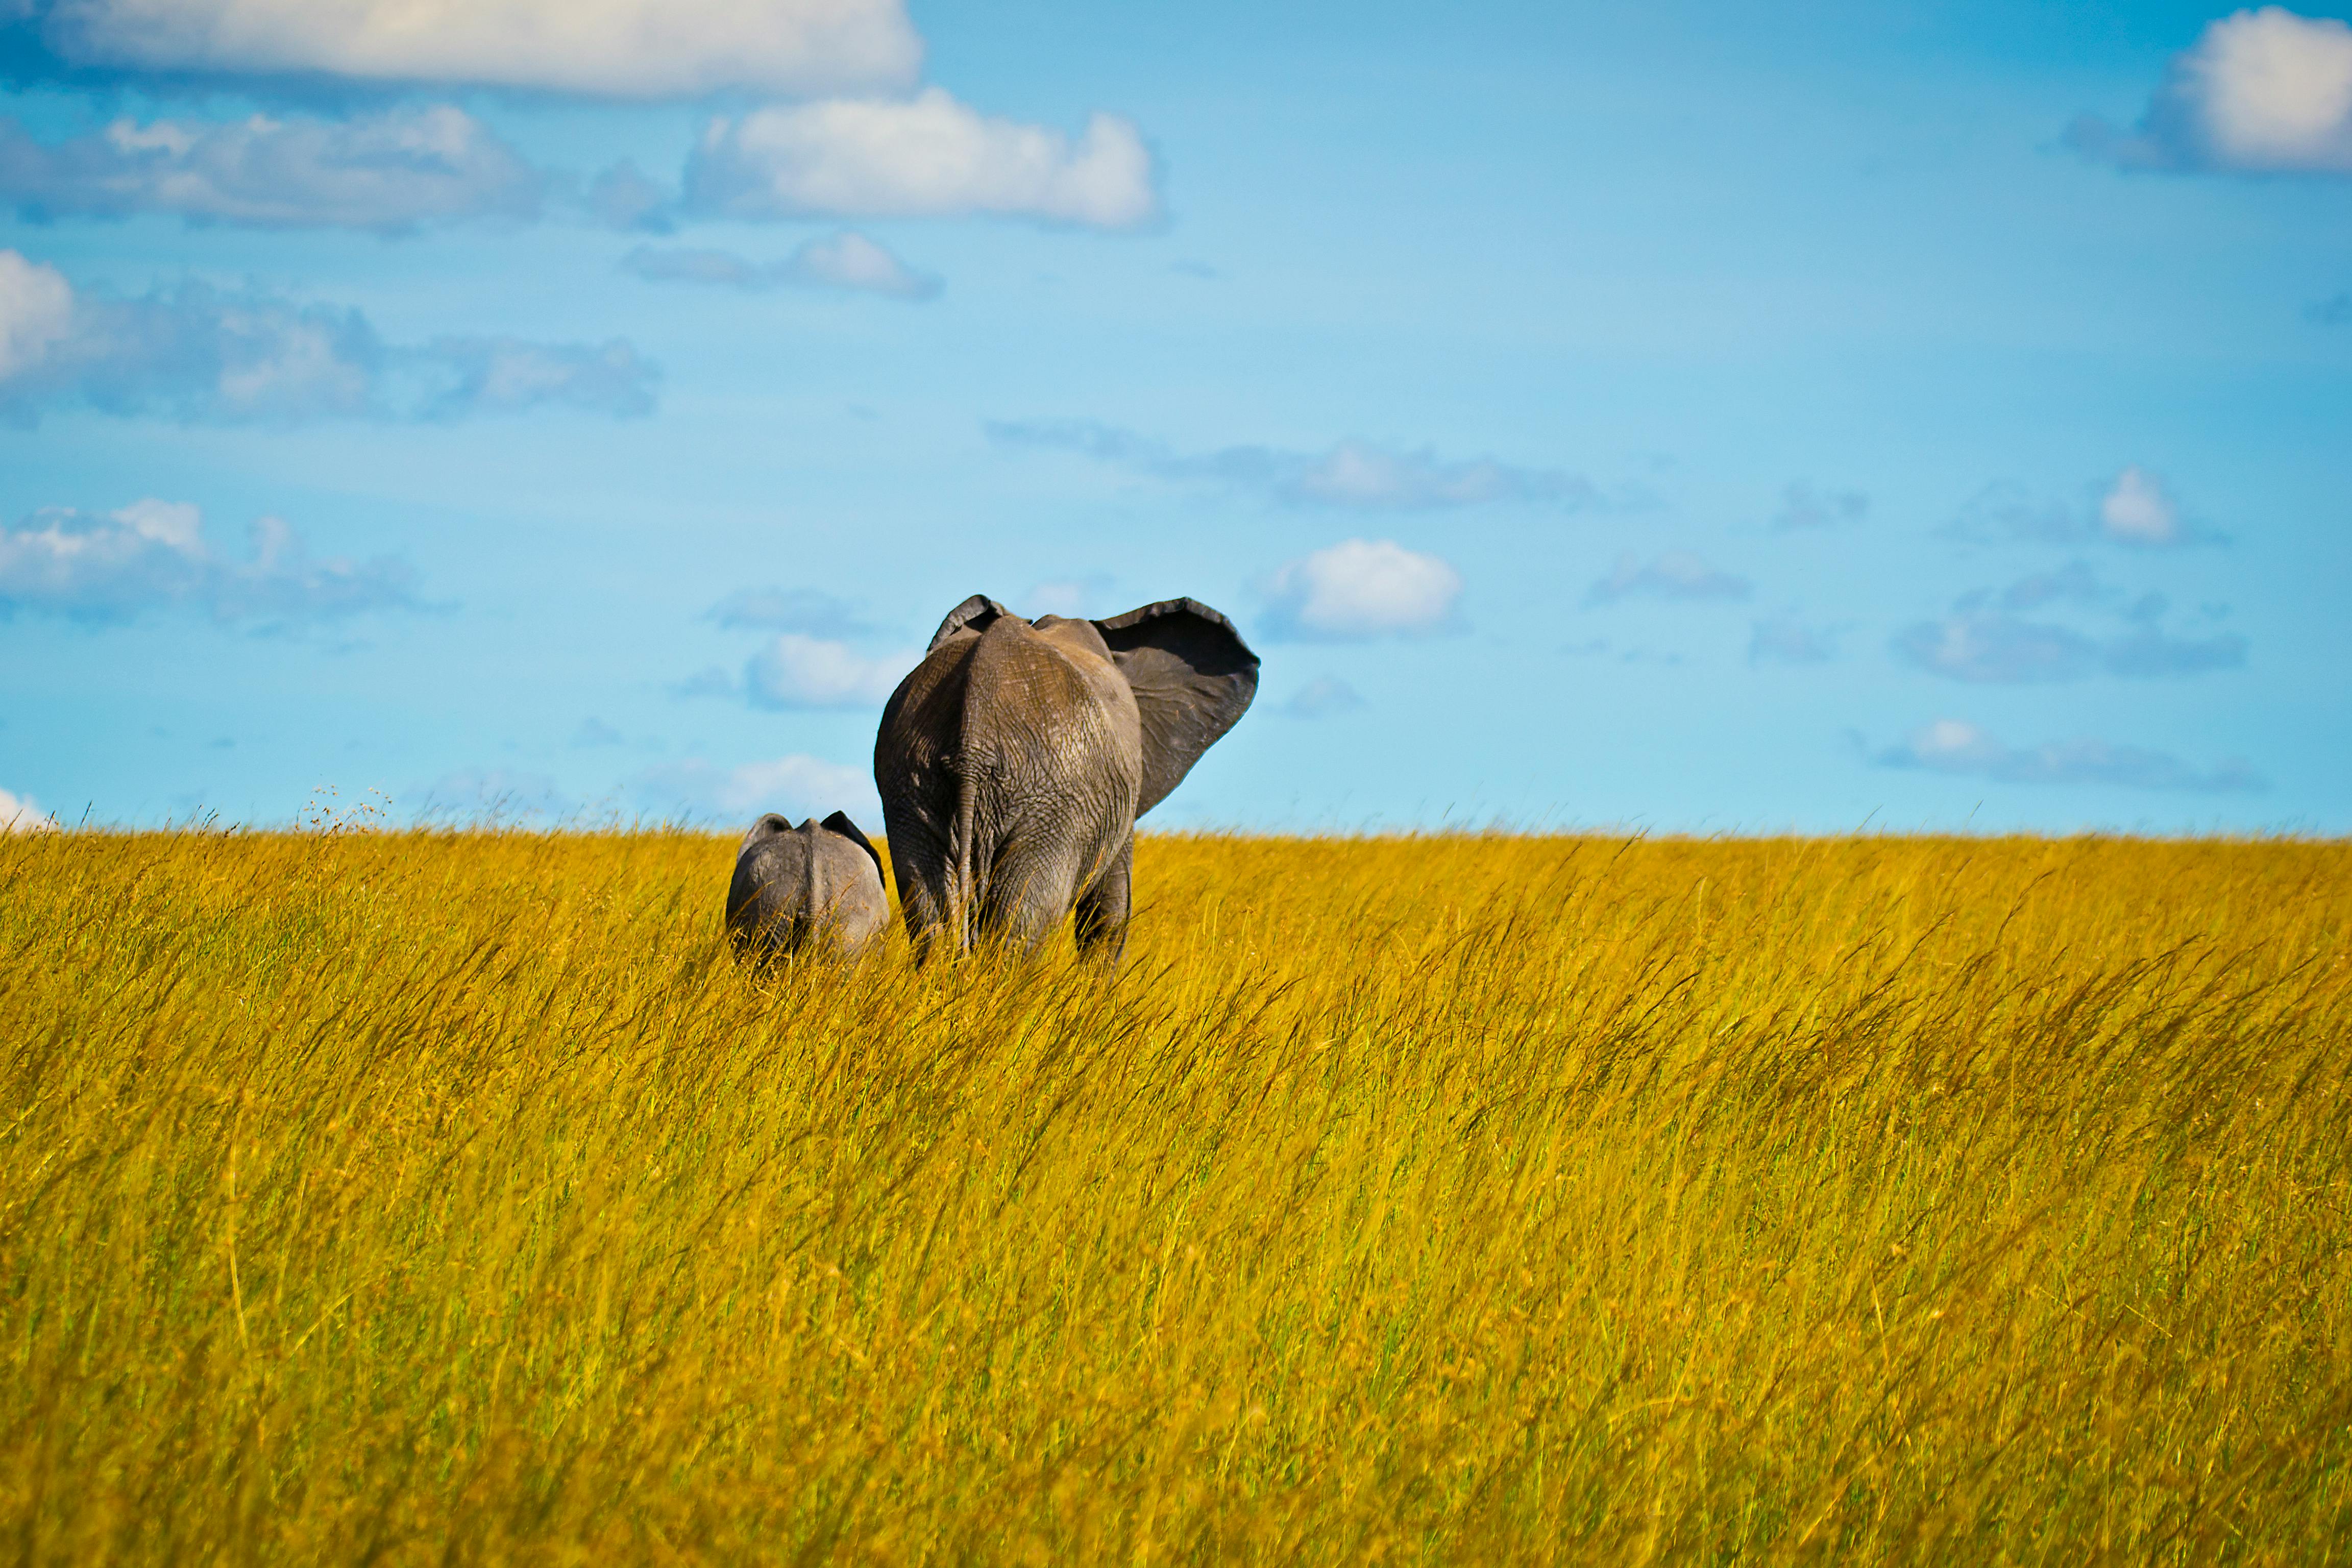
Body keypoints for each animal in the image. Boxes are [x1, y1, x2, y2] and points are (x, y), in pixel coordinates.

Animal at [873, 594, 1258, 963]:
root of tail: (974, 742)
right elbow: (1110, 910)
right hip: (1054, 807)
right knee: (1019, 925)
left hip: (913, 785)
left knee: (933, 918)